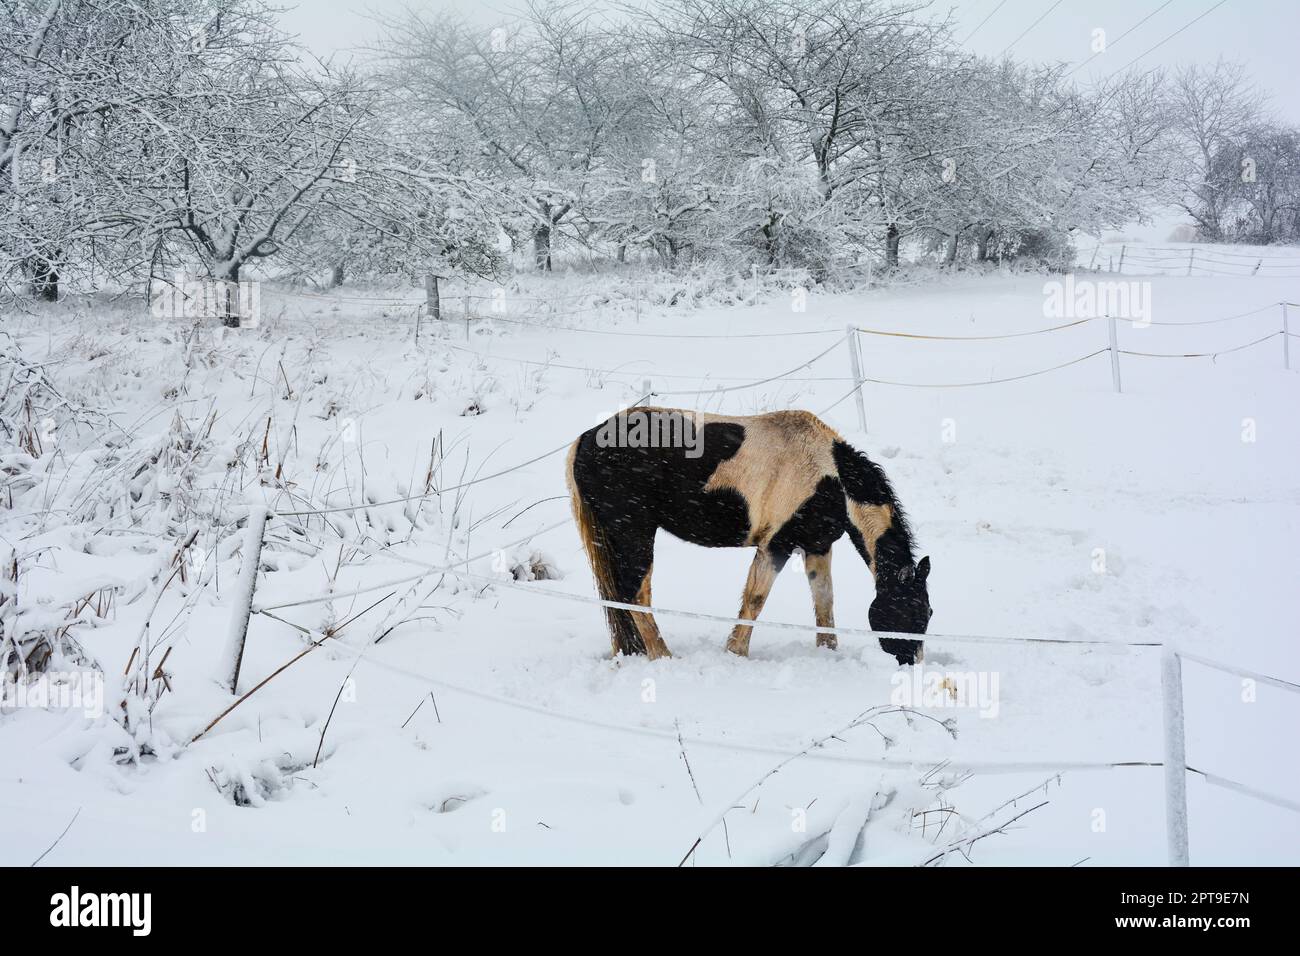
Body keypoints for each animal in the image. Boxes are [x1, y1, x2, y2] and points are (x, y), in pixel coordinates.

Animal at [565, 406, 931, 664]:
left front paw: (828, 652)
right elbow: (755, 600)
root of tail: (587, 438)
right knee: (636, 594)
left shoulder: (817, 546)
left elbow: (824, 602)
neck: (832, 479)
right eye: (907, 612)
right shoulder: (776, 545)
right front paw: (735, 652)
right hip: (633, 532)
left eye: (927, 613)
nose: (910, 663)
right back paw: (662, 656)